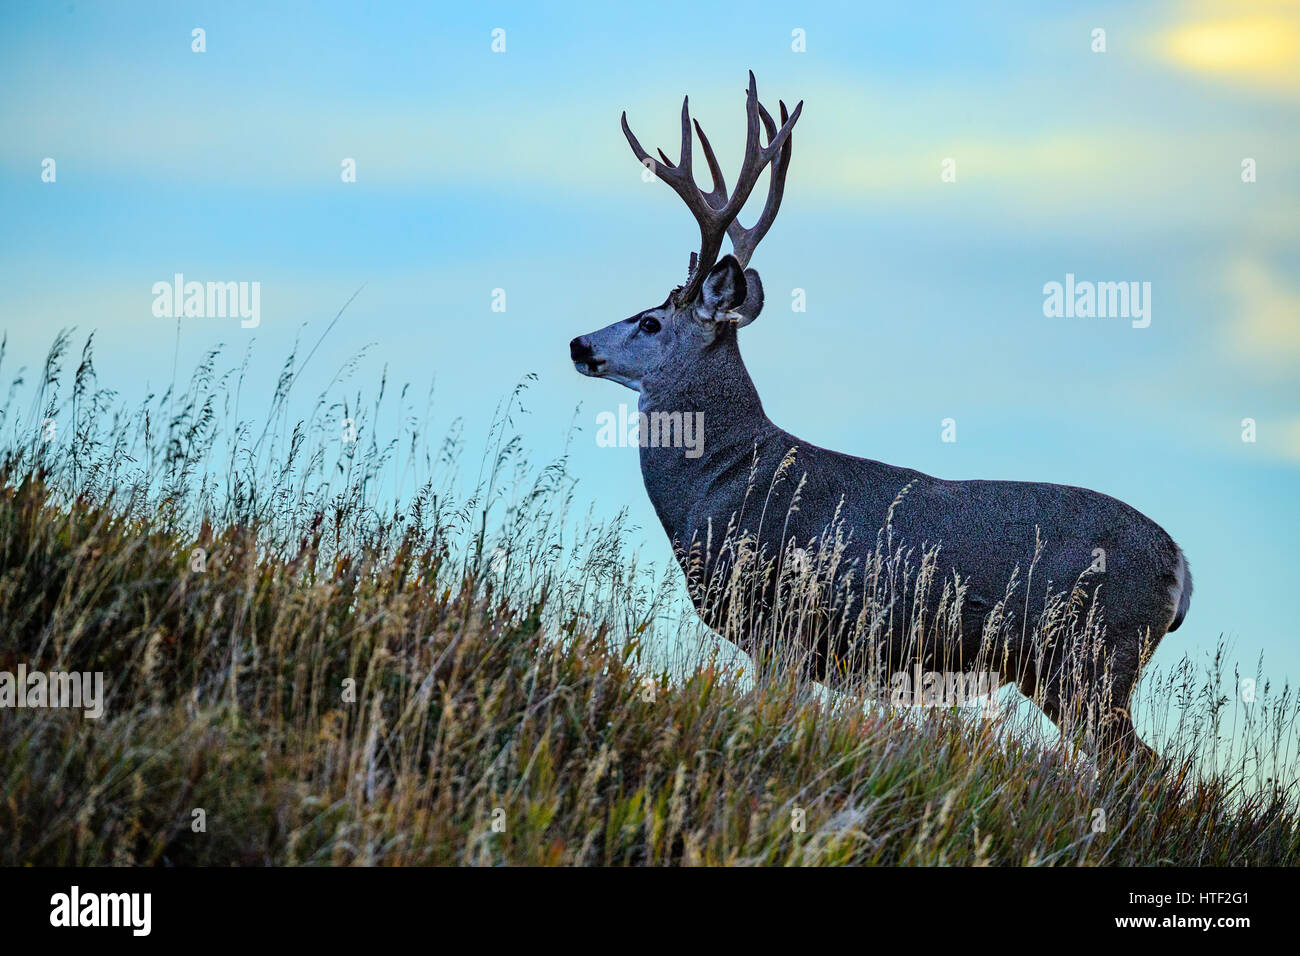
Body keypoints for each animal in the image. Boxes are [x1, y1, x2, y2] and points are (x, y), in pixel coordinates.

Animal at [569, 73, 1191, 763]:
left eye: (651, 321)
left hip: (1090, 658)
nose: (577, 344)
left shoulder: (782, 625)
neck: (724, 481)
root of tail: (1180, 566)